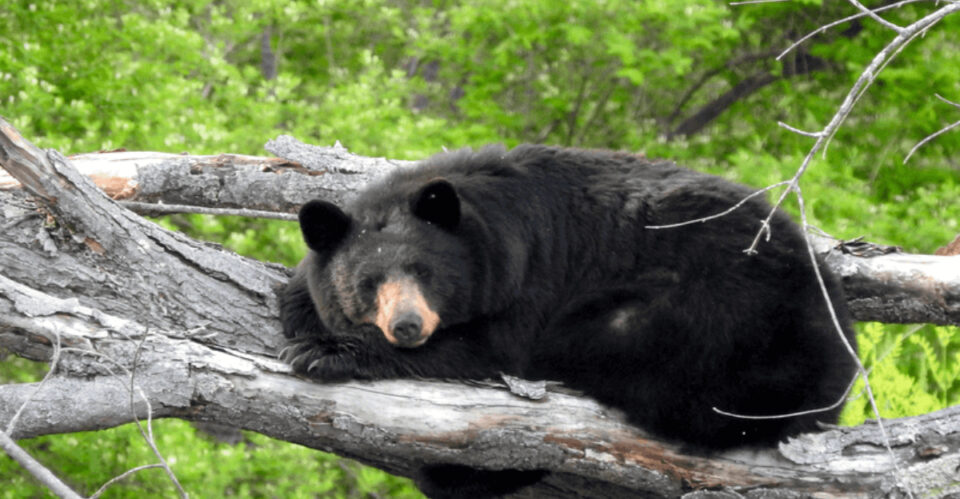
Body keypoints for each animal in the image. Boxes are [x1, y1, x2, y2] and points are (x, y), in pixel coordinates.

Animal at [278, 144, 858, 496]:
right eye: (368, 283)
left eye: (425, 271)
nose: (407, 327)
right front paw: (298, 304)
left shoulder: (529, 278)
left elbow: (489, 347)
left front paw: (323, 351)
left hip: (710, 318)